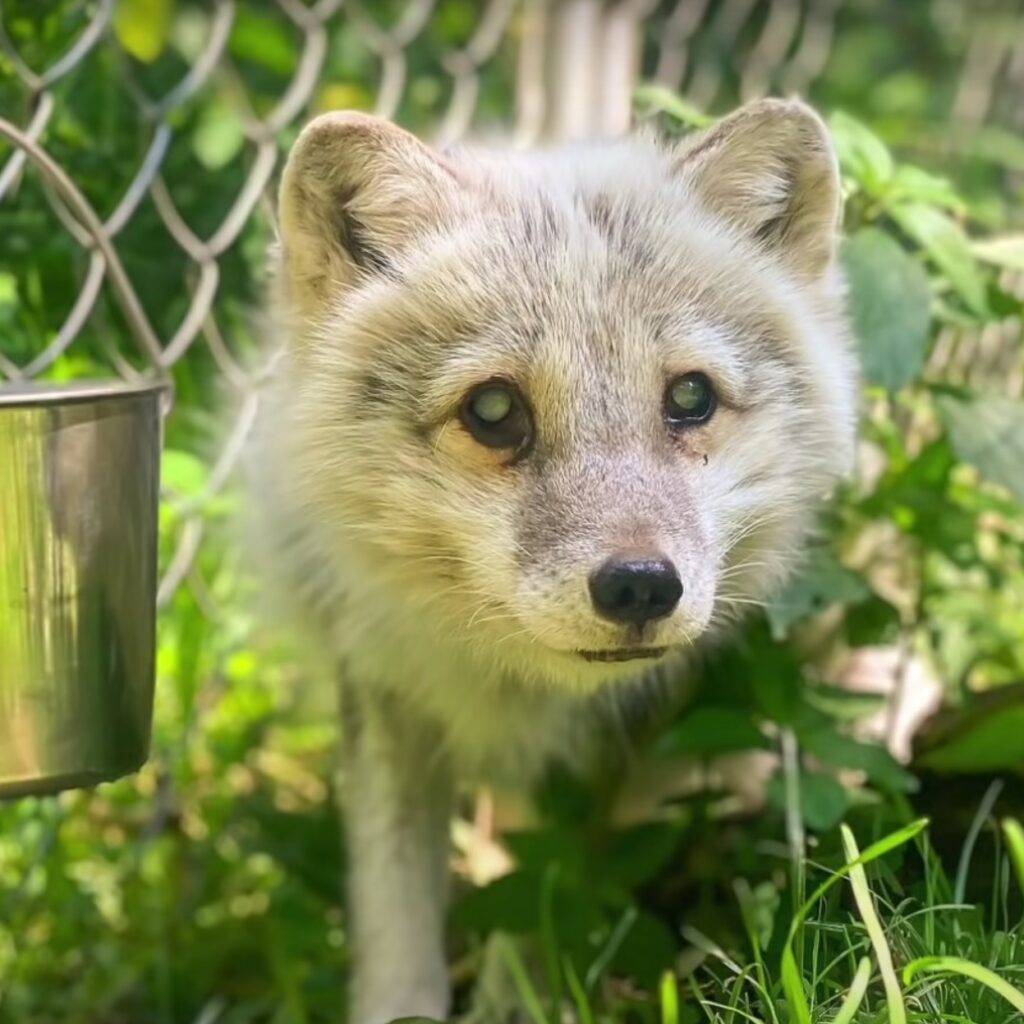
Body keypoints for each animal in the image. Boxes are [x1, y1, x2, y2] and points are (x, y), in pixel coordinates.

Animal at [249, 97, 859, 1024]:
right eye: (495, 410)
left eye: (691, 397)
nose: (640, 587)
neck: (511, 689)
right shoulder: (385, 695)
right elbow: (397, 920)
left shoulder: (605, 749)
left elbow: (547, 900)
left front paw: (517, 1000)